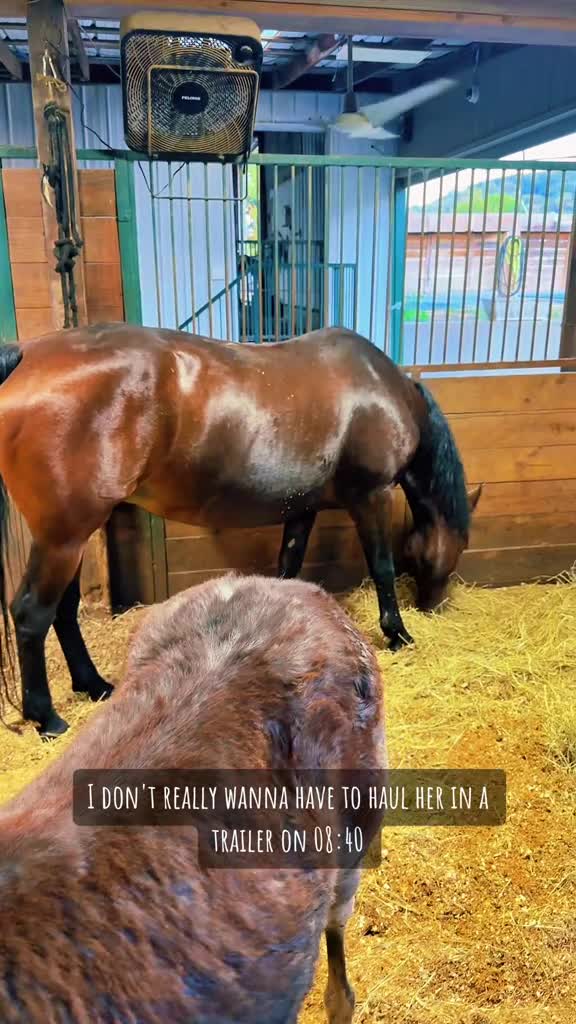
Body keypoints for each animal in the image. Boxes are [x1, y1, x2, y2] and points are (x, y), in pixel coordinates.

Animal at [0, 323, 481, 737]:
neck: (380, 389)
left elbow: (288, 570)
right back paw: (48, 717)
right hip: (64, 537)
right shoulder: (373, 496)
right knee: (31, 613)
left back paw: (94, 685)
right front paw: (398, 633)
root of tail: (27, 357)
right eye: (456, 548)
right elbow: (381, 567)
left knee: (63, 610)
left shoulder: (303, 507)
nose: (434, 605)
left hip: (69, 536)